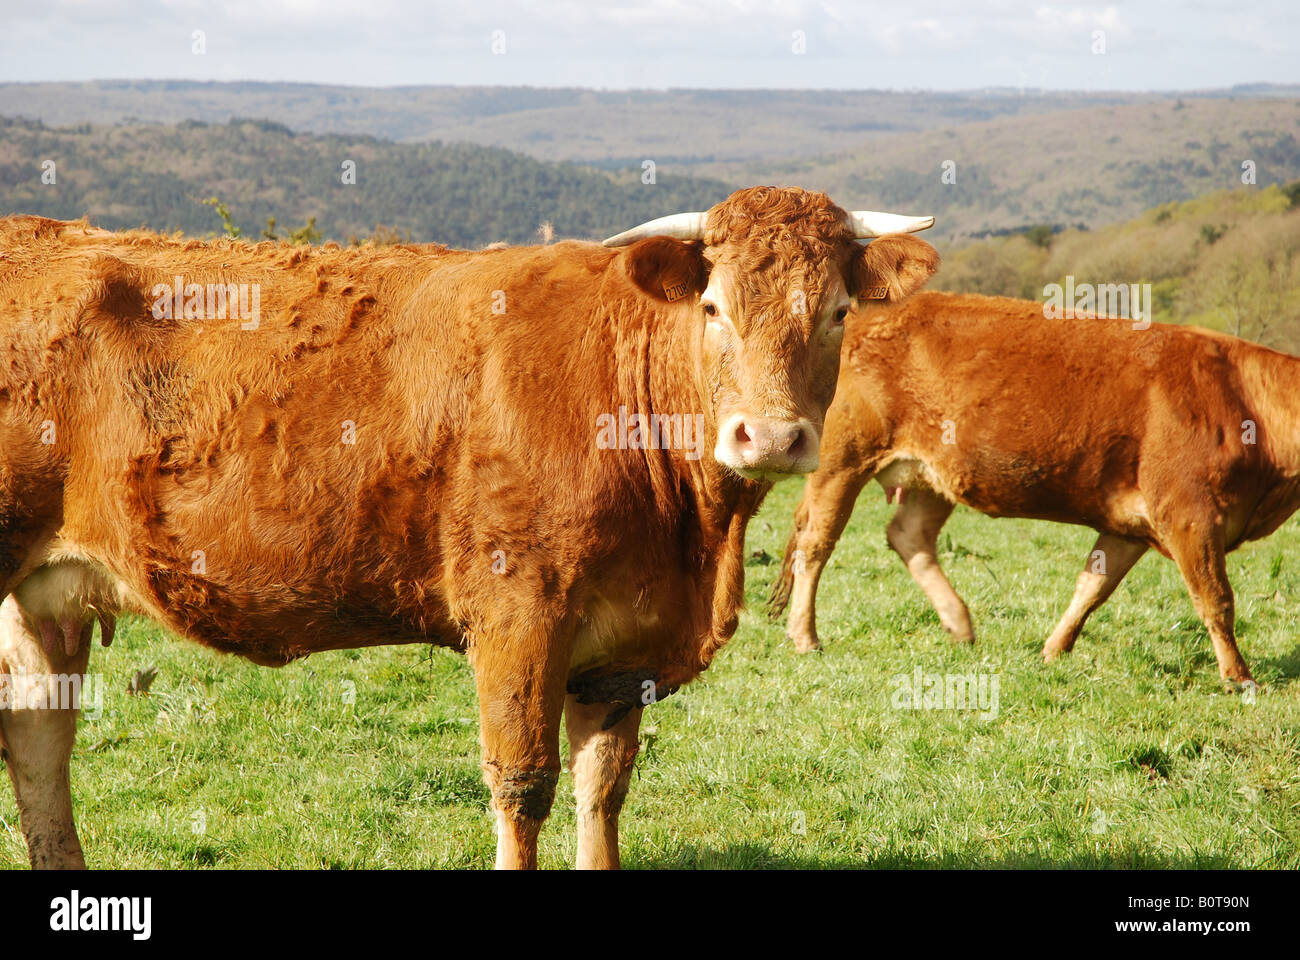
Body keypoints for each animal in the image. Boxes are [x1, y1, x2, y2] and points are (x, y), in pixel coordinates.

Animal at [0, 187, 938, 869]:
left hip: (43, 596)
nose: (771, 437)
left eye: (839, 312)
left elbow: (603, 790)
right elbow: (522, 785)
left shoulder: (622, 653)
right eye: (711, 307)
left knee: (37, 733)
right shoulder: (519, 612)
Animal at [768, 290, 1291, 689]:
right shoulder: (1189, 513)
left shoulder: (1129, 526)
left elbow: (1092, 586)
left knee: (908, 536)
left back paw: (959, 624)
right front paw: (1239, 677)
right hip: (841, 463)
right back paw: (805, 637)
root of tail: (862, 313)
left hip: (928, 476)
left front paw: (1055, 649)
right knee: (815, 546)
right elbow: (1215, 598)